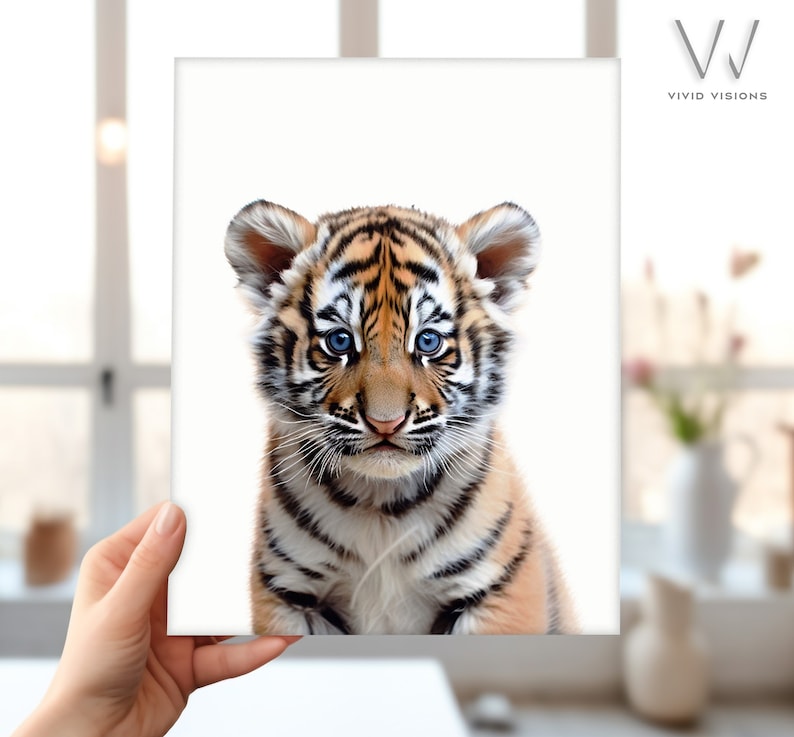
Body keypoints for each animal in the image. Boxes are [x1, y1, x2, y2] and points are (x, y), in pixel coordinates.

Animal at [224, 200, 578, 635]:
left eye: (428, 341)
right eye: (339, 341)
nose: (385, 423)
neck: (381, 507)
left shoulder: (497, 591)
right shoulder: (290, 593)